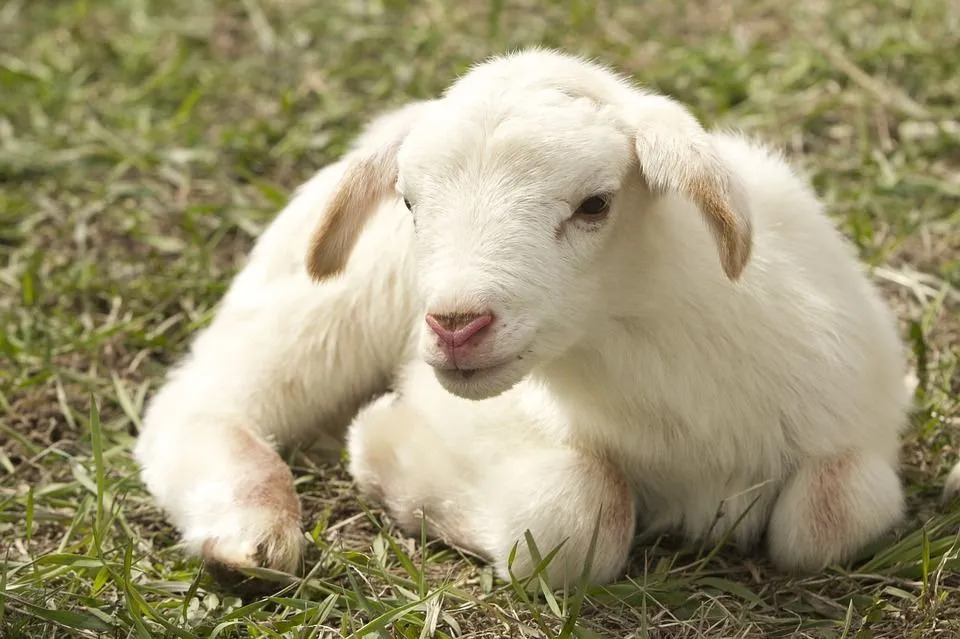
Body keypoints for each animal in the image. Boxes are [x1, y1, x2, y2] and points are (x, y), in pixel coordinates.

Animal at [131, 47, 956, 592]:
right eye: (409, 202)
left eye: (595, 203)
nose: (455, 323)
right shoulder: (471, 415)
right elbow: (579, 517)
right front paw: (385, 455)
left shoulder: (856, 424)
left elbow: (830, 514)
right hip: (320, 305)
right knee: (201, 401)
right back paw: (249, 529)